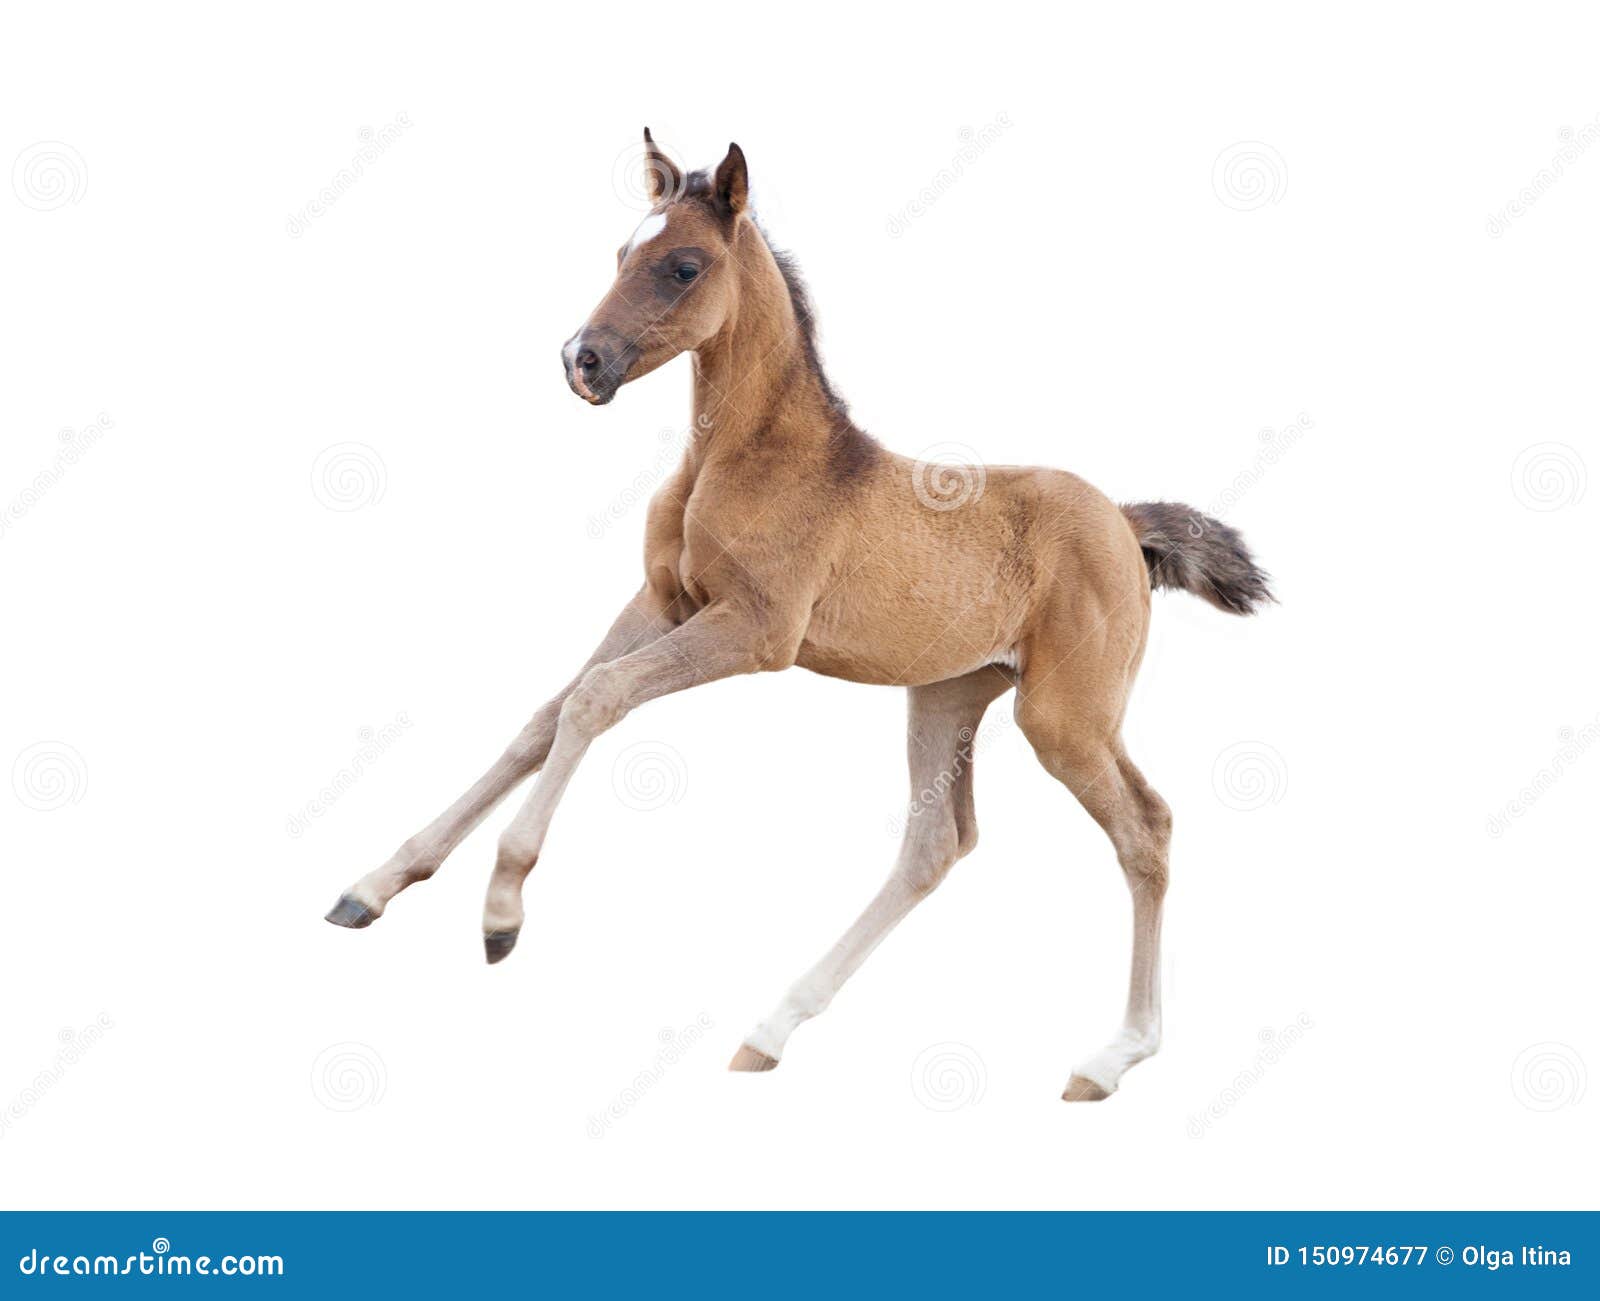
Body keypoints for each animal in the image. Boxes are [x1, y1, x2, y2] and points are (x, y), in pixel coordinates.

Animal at [325, 130, 1273, 1101]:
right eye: (621, 252)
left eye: (683, 265)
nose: (580, 360)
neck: (742, 458)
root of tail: (1123, 520)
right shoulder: (661, 602)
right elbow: (543, 717)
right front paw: (375, 883)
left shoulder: (755, 630)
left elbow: (598, 697)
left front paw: (501, 910)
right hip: (947, 695)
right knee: (935, 845)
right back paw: (769, 1032)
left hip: (1065, 717)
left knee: (1145, 830)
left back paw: (1113, 1056)